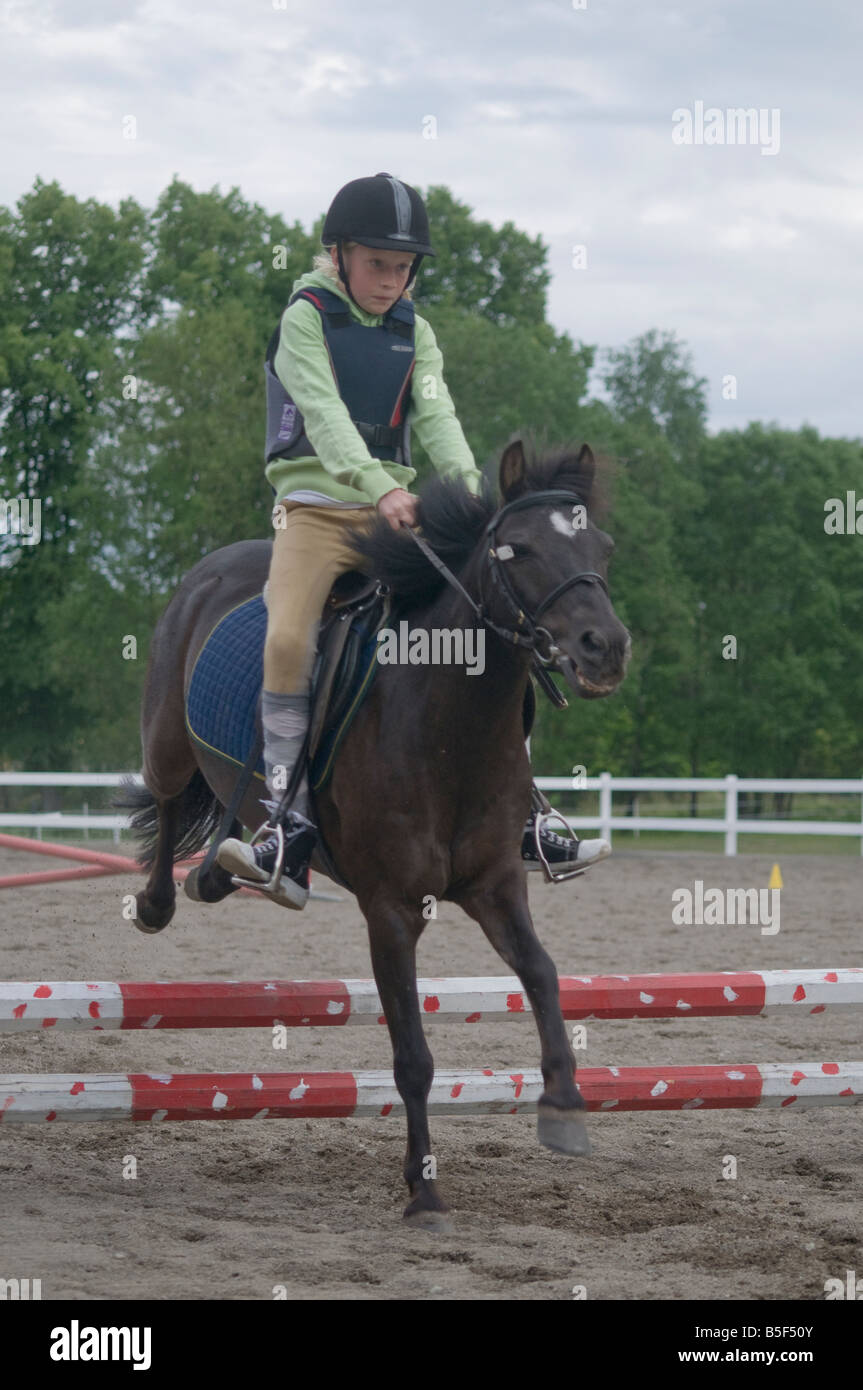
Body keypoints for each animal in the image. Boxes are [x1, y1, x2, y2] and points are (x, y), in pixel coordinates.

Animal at [119, 437, 630, 1228]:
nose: (604, 647)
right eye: (515, 550)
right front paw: (424, 1189)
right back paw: (160, 900)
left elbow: (543, 976)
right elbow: (412, 1055)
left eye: (600, 545)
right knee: (170, 796)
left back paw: (231, 866)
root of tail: (212, 568)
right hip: (169, 741)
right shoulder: (391, 907)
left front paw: (564, 1103)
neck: (448, 728)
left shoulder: (495, 886)